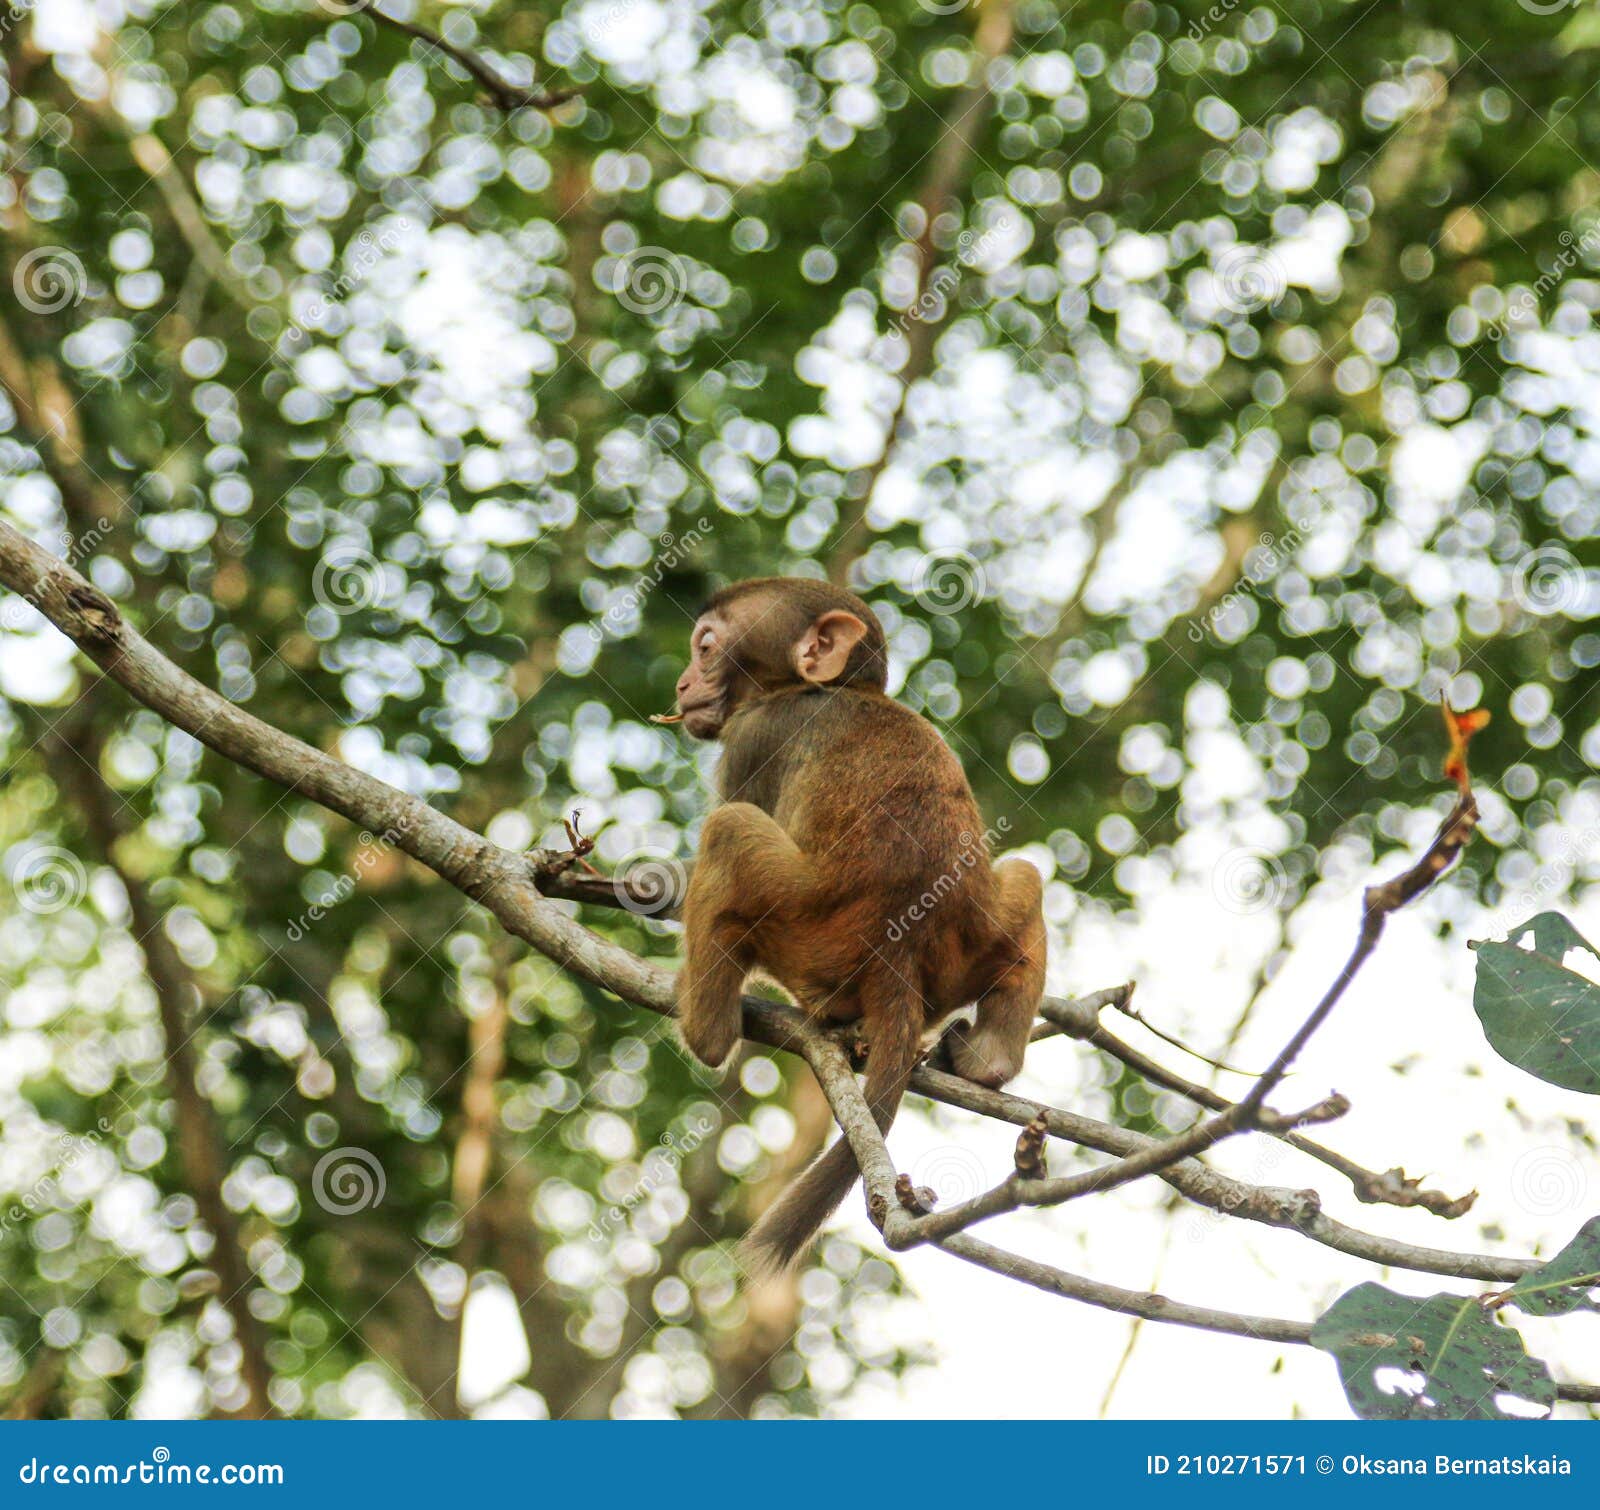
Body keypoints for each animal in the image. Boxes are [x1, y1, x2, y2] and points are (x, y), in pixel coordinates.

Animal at [662, 576, 1046, 1275]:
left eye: (706, 646)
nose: (682, 684)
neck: (835, 689)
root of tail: (899, 956)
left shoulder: (756, 735)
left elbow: (722, 824)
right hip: (965, 947)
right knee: (1026, 877)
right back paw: (989, 1063)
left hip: (808, 940)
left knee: (729, 828)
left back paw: (705, 1027)